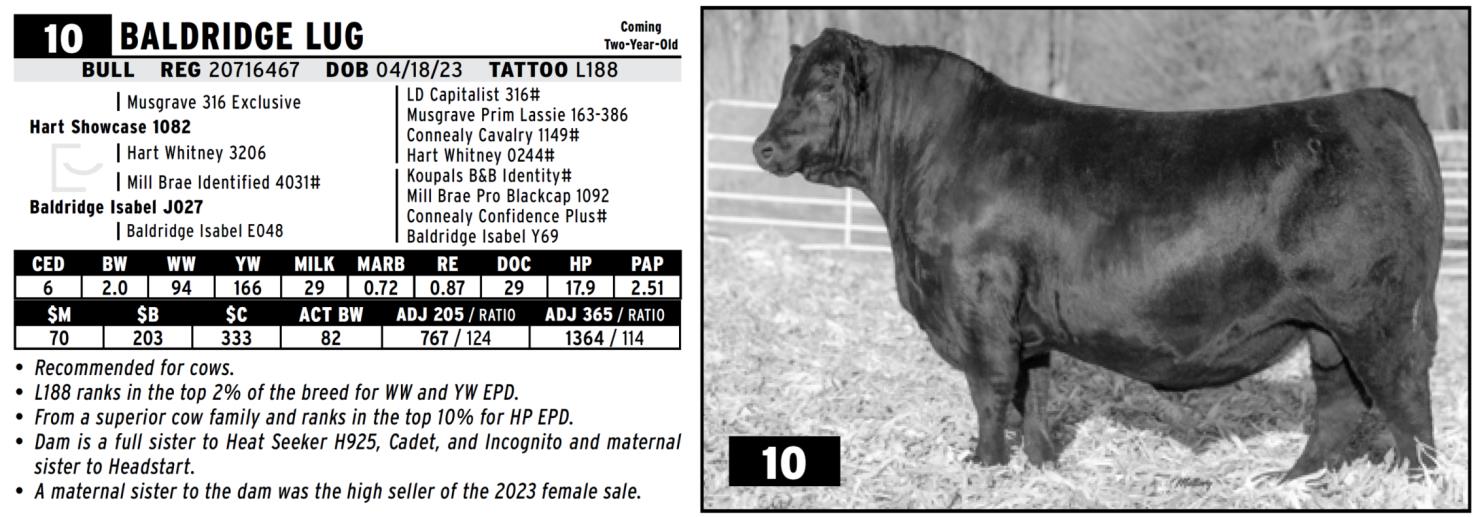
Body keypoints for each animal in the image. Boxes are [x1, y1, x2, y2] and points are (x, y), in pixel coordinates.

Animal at [751, 28, 1444, 481]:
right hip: (1327, 327)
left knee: (1405, 399)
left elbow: (990, 388)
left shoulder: (977, 302)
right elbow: (1032, 393)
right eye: (787, 85)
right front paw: (1040, 467)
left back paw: (1411, 483)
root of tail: (1388, 102)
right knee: (1341, 402)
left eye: (822, 89)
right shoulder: (1025, 322)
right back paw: (1292, 481)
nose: (763, 148)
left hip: (1375, 316)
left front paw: (983, 466)